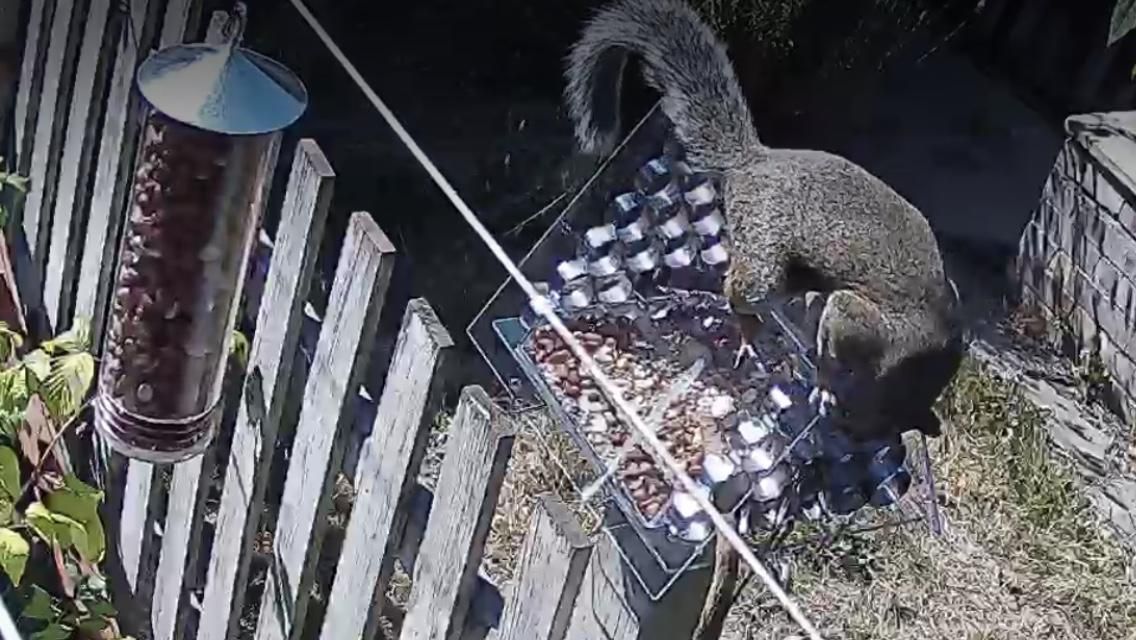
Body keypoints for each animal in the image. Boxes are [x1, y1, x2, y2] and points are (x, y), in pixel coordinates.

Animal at [563, 0, 965, 442]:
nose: (855, 433)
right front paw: (825, 385)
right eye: (869, 418)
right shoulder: (858, 322)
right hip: (763, 254)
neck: (914, 355)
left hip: (794, 272)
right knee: (739, 292)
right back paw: (748, 334)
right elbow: (835, 336)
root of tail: (752, 162)